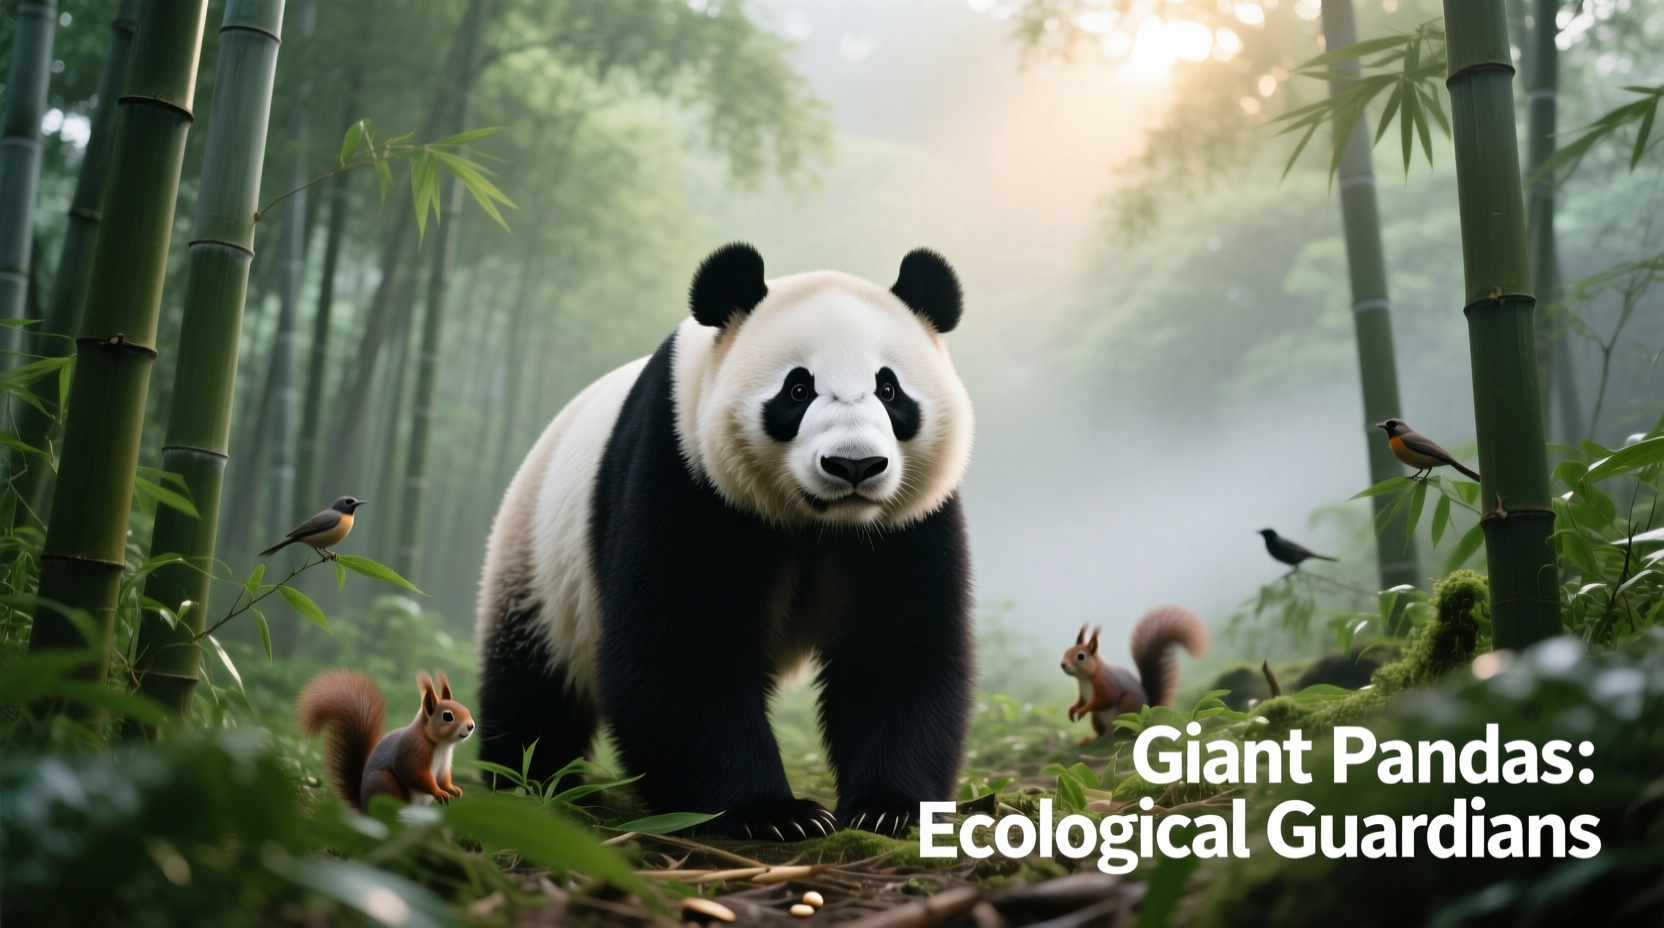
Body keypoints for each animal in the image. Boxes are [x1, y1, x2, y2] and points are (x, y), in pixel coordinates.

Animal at [475, 243, 975, 840]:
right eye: (798, 390)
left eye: (889, 389)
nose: (854, 465)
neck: (820, 522)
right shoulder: (683, 468)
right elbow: (679, 646)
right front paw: (773, 814)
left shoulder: (908, 522)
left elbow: (897, 650)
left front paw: (889, 806)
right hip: (536, 562)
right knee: (533, 690)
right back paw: (529, 784)